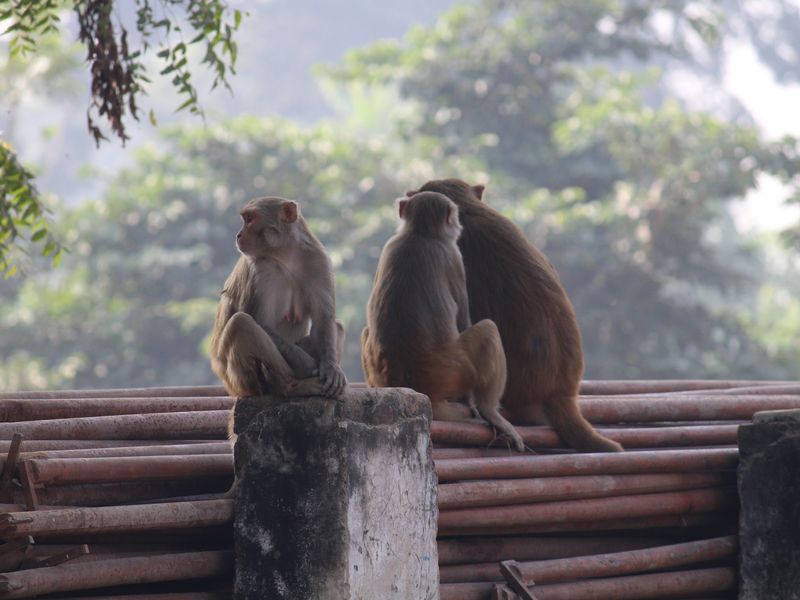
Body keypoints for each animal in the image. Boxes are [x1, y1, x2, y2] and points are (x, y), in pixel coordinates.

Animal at [209, 196, 347, 401]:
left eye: (250, 219)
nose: (238, 235)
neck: (285, 256)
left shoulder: (318, 260)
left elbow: (324, 318)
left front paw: (331, 368)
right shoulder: (260, 269)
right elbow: (262, 322)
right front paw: (310, 367)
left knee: (336, 325)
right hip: (240, 383)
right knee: (241, 323)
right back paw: (289, 387)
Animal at [361, 191, 524, 452]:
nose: (458, 225)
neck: (419, 233)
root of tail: (424, 389)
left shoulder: (389, 246)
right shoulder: (454, 256)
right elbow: (464, 320)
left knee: (366, 331)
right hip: (457, 370)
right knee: (488, 330)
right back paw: (489, 410)